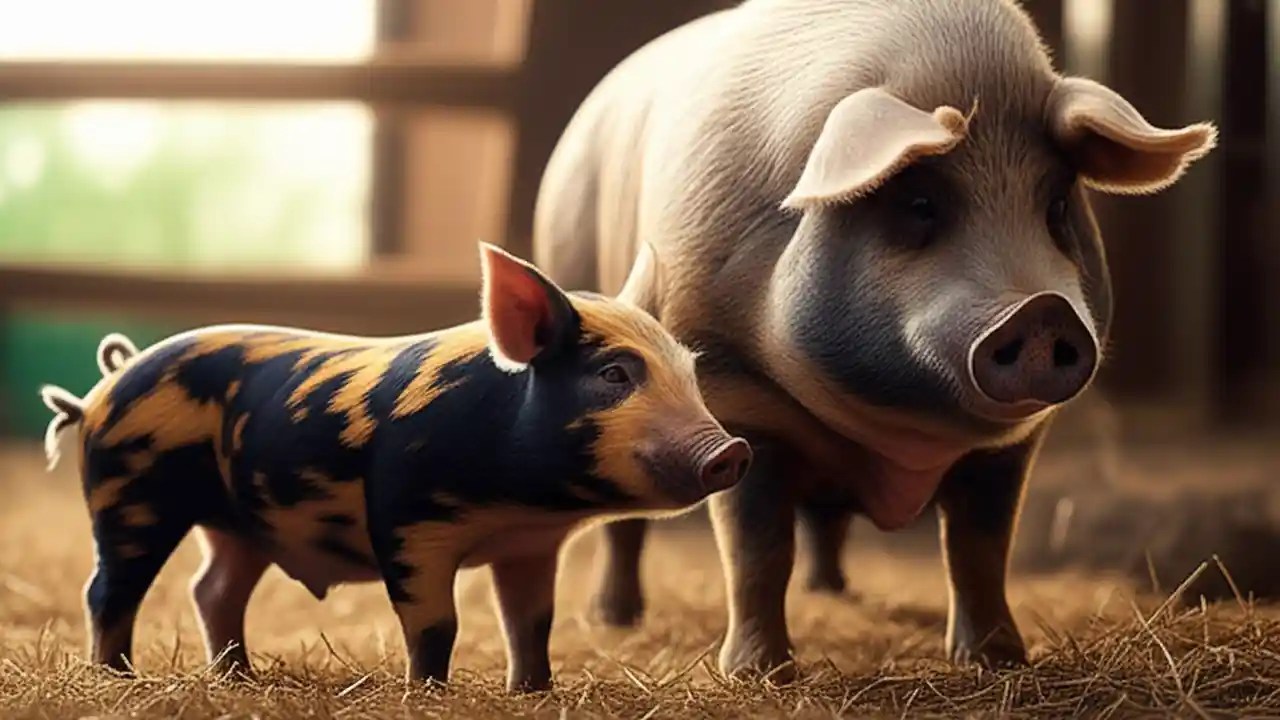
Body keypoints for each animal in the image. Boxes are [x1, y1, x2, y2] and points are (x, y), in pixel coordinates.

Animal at [39, 243, 751, 692]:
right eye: (614, 375)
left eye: (689, 371)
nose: (733, 450)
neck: (523, 501)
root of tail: (101, 391)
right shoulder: (410, 522)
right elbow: (437, 623)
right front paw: (430, 693)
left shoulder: (529, 545)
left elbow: (530, 623)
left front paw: (535, 693)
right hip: (128, 498)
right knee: (109, 589)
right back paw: (117, 677)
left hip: (238, 525)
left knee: (211, 589)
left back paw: (238, 677)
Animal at [532, 0, 1216, 678]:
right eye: (919, 204)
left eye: (1055, 208)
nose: (1042, 309)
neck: (901, 437)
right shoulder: (737, 399)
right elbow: (757, 549)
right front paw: (760, 673)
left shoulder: (1012, 447)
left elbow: (979, 547)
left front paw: (999, 660)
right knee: (628, 527)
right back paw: (615, 618)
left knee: (827, 524)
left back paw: (832, 591)